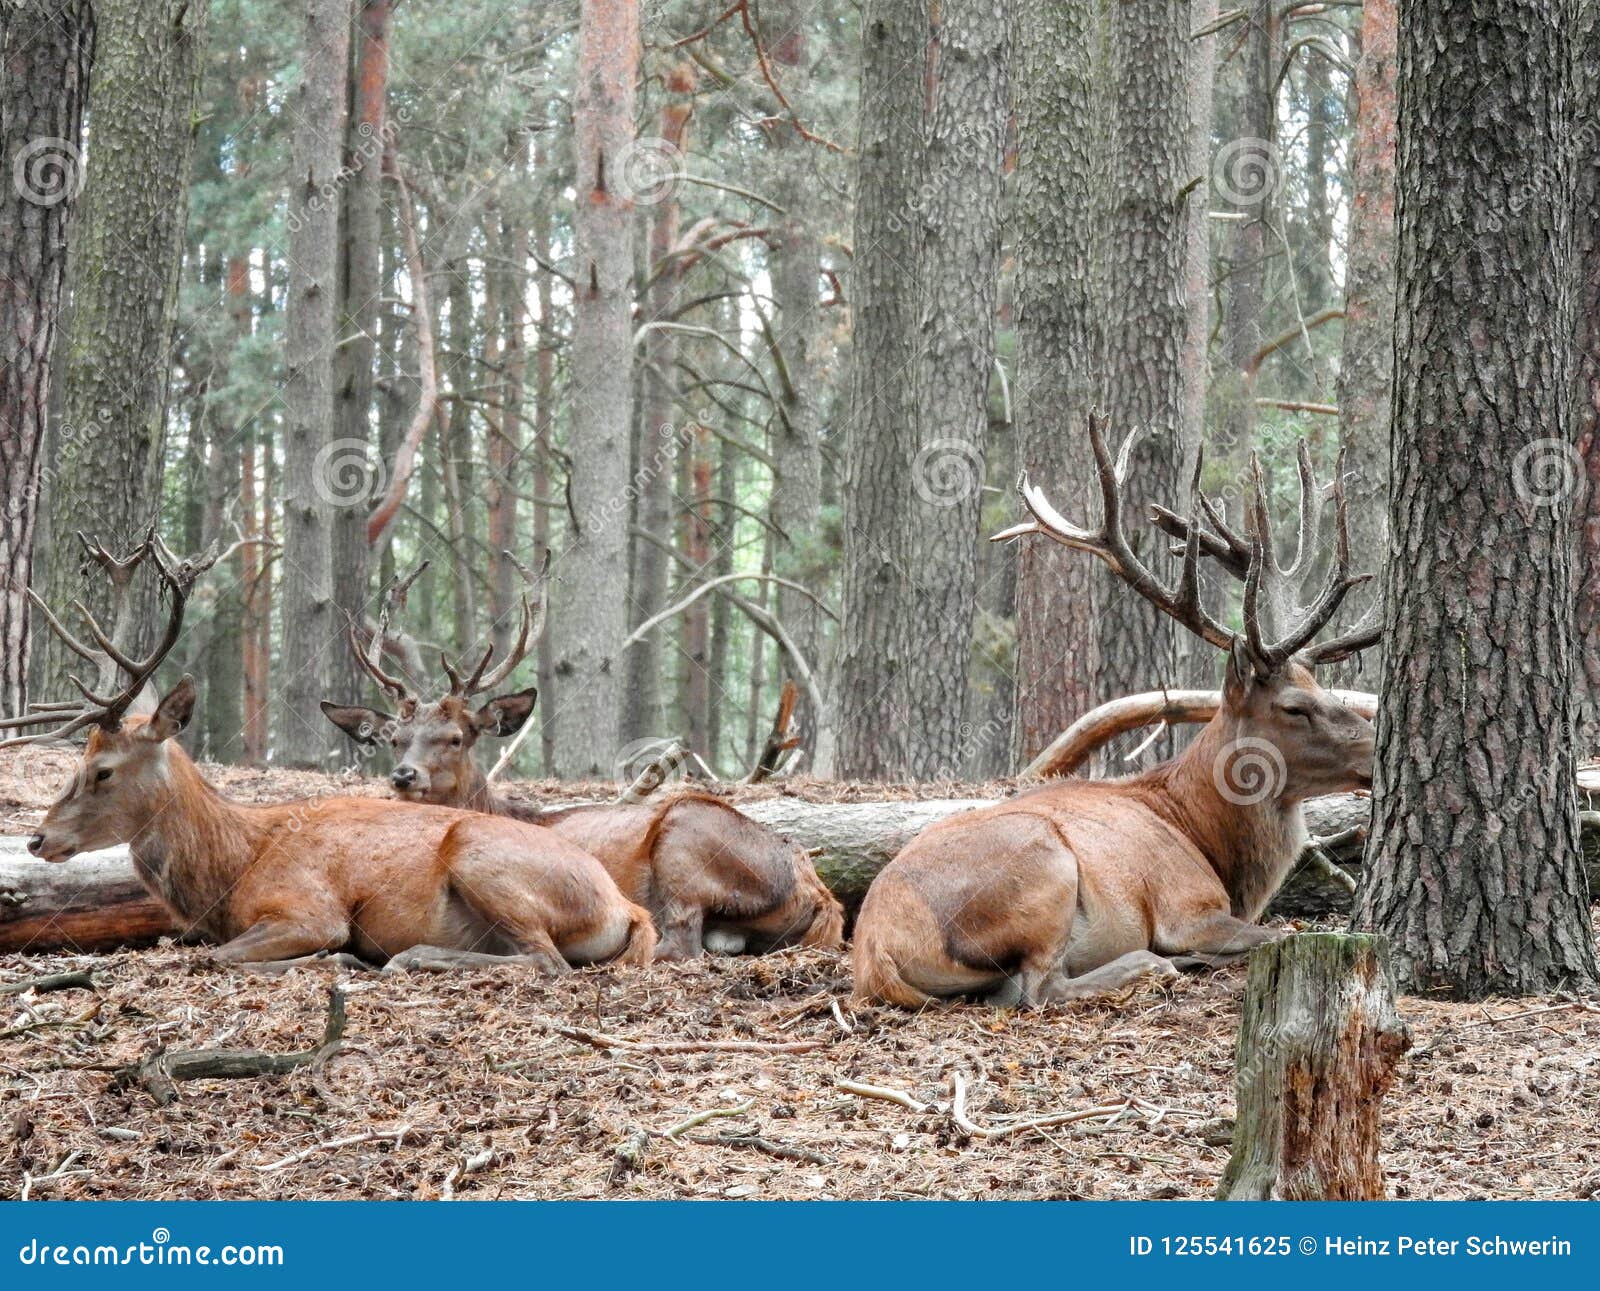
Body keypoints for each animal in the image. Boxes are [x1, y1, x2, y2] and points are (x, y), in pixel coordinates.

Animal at [3, 534, 656, 973]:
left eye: (103, 771)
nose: (36, 838)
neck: (233, 869)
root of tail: (624, 908)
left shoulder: (309, 908)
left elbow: (219, 956)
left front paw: (334, 960)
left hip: (485, 859)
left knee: (545, 960)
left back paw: (407, 957)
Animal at [320, 564, 844, 961]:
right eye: (395, 740)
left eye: (456, 738)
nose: (404, 776)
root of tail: (817, 890)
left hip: (686, 841)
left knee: (677, 942)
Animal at [852, 416, 1382, 1008]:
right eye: (1295, 707)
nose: (1374, 746)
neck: (1202, 832)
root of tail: (874, 955)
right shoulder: (1189, 905)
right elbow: (1274, 933)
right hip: (1043, 867)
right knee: (1038, 988)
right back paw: (1151, 963)